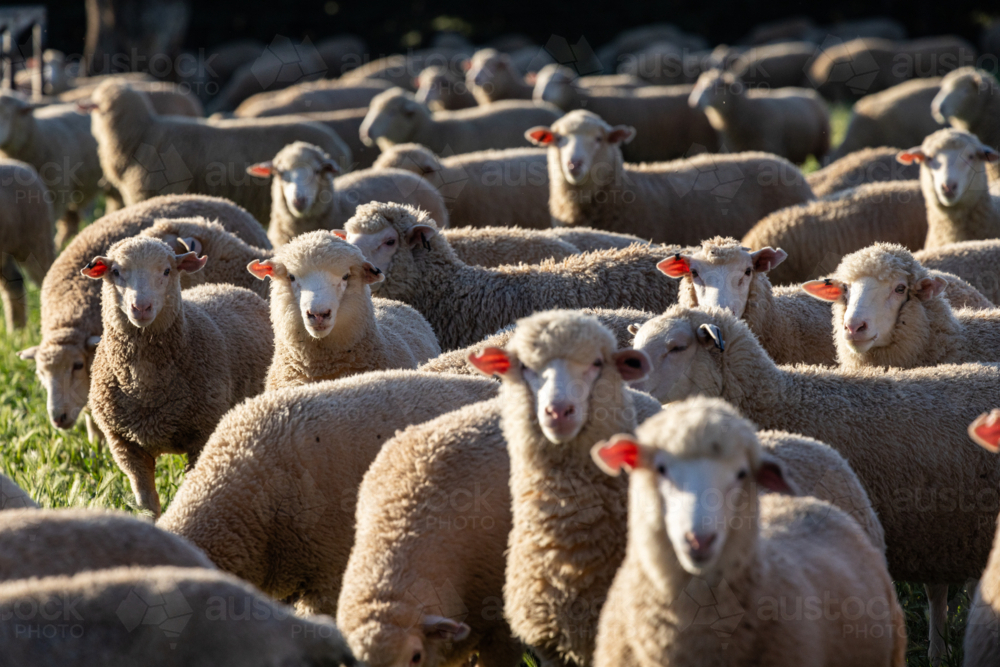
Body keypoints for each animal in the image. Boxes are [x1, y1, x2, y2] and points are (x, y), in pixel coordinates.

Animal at [84, 237, 273, 516]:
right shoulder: (125, 446)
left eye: (166, 271)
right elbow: (146, 502)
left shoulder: (203, 434)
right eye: (116, 272)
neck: (145, 386)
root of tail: (226, 286)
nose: (141, 307)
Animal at [688, 69, 830, 164]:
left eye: (717, 87)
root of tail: (811, 93)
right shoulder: (735, 149)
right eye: (698, 85)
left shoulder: (771, 147)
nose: (693, 102)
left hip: (822, 146)